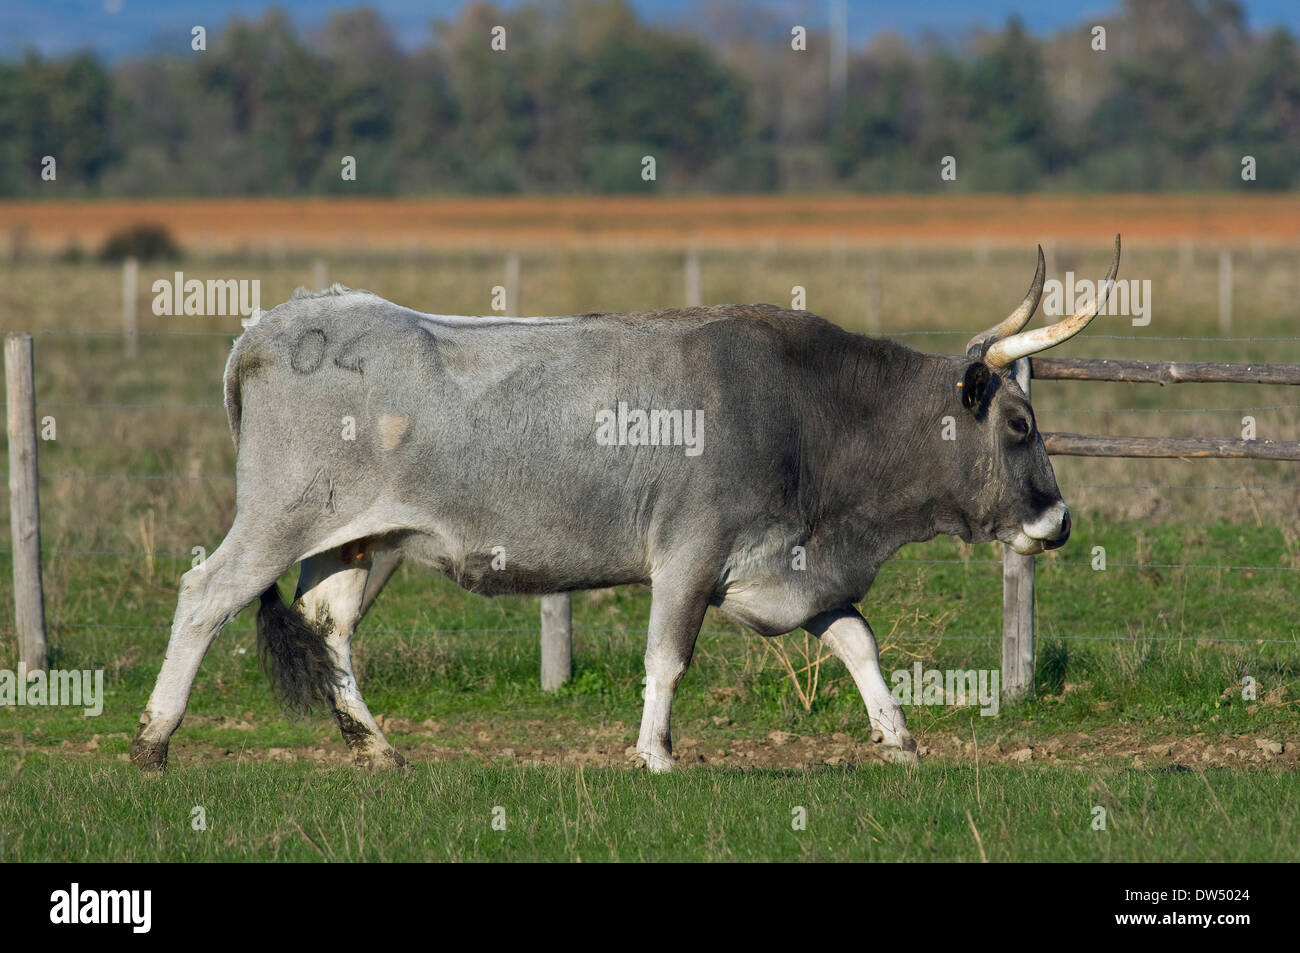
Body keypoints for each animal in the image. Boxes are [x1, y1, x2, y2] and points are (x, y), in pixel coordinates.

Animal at [132, 237, 1119, 772]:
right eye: (1022, 423)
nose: (1058, 522)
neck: (809, 410)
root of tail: (273, 324)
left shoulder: (796, 571)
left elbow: (858, 644)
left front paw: (900, 739)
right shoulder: (688, 556)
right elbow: (667, 658)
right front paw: (655, 752)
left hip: (362, 541)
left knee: (329, 628)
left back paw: (375, 746)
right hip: (278, 520)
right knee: (203, 597)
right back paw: (154, 740)